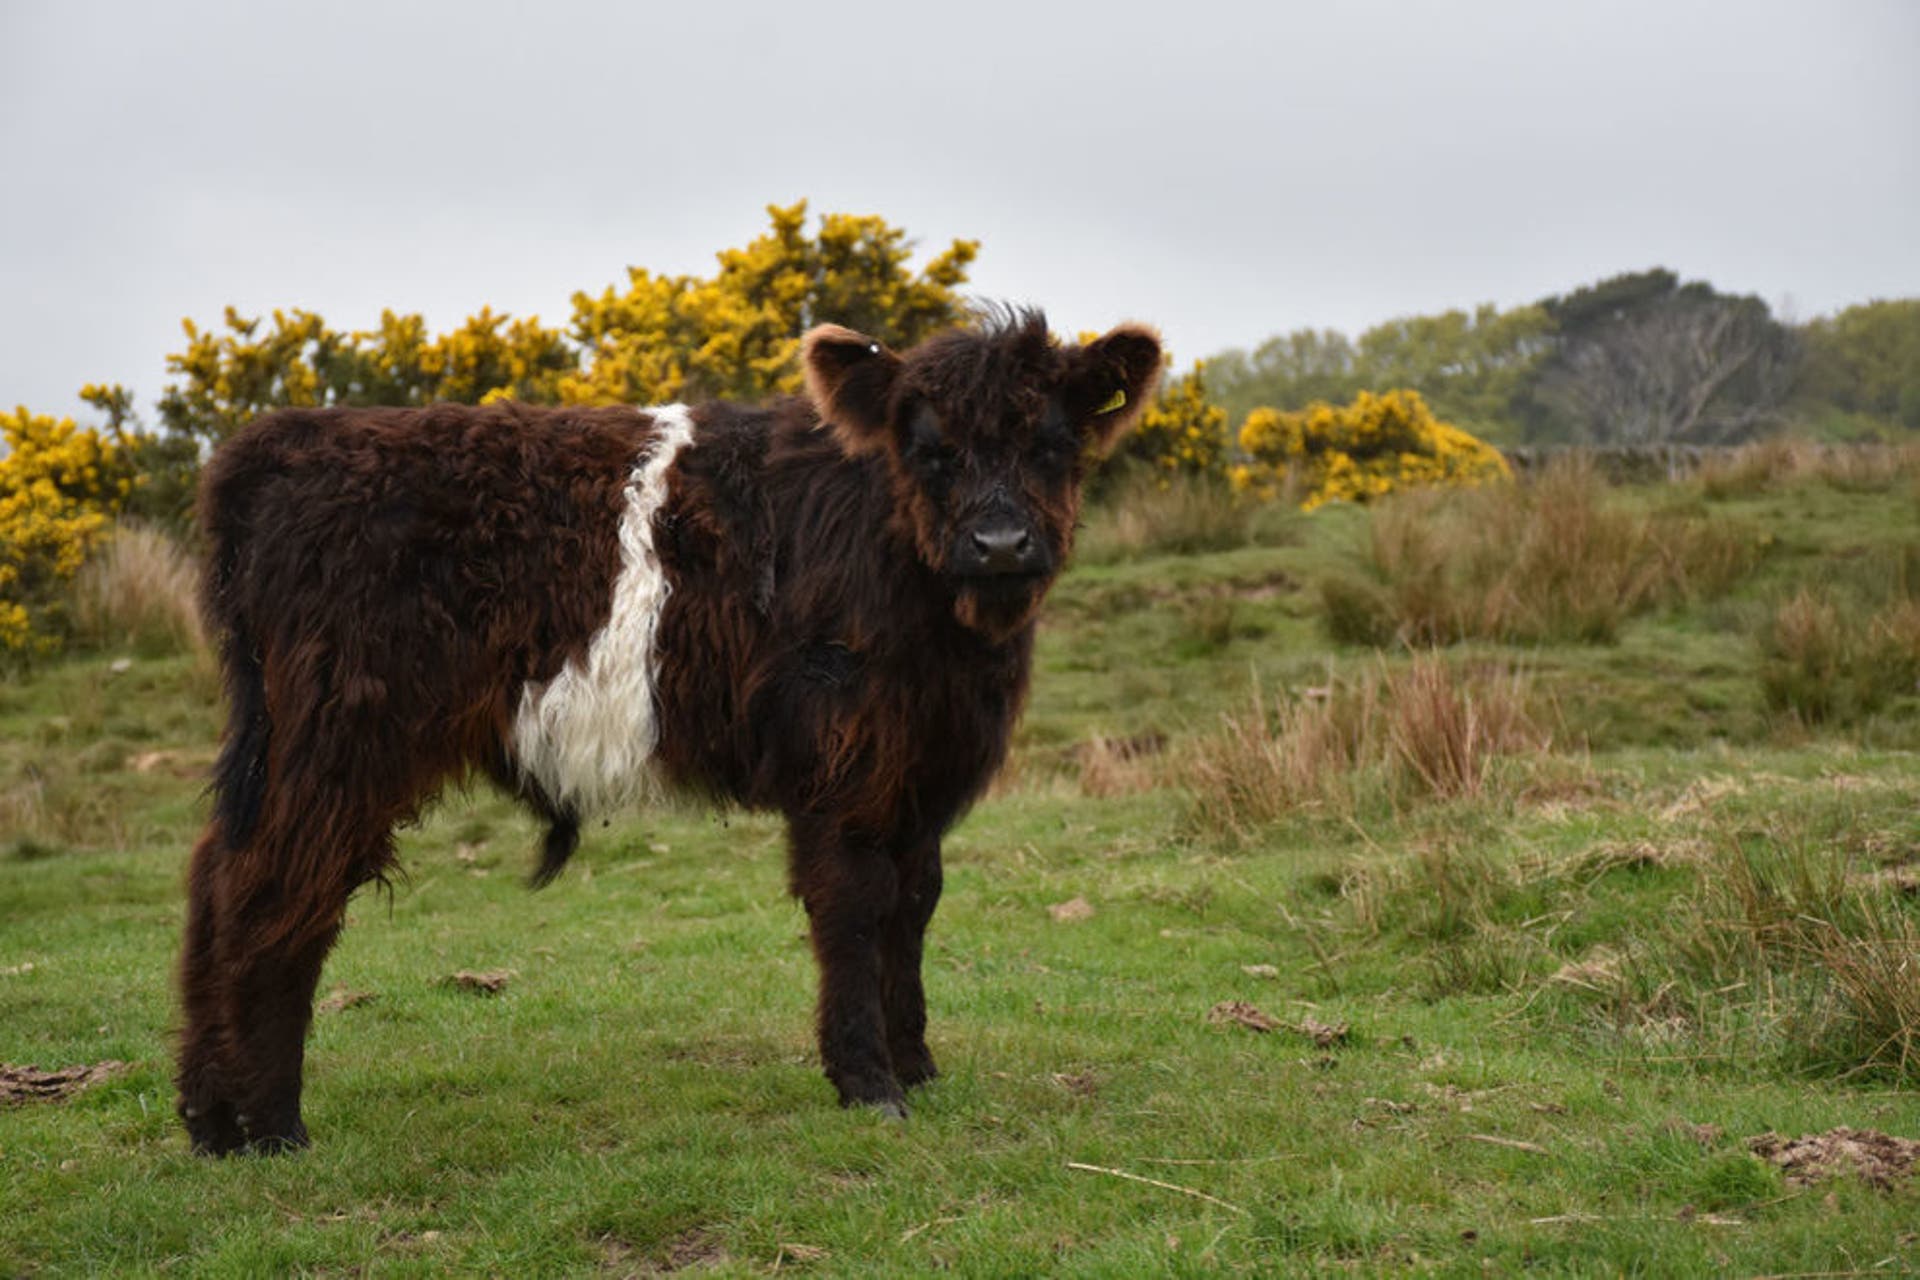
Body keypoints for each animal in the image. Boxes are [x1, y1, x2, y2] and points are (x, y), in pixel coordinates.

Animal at [176, 307, 1162, 1153]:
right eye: (931, 450)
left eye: (1053, 443)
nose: (1000, 544)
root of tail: (281, 441)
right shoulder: (843, 764)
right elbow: (855, 905)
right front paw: (869, 1084)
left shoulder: (918, 770)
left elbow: (914, 905)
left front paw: (916, 1064)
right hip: (337, 741)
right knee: (274, 893)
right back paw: (272, 1127)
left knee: (217, 878)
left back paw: (208, 1120)